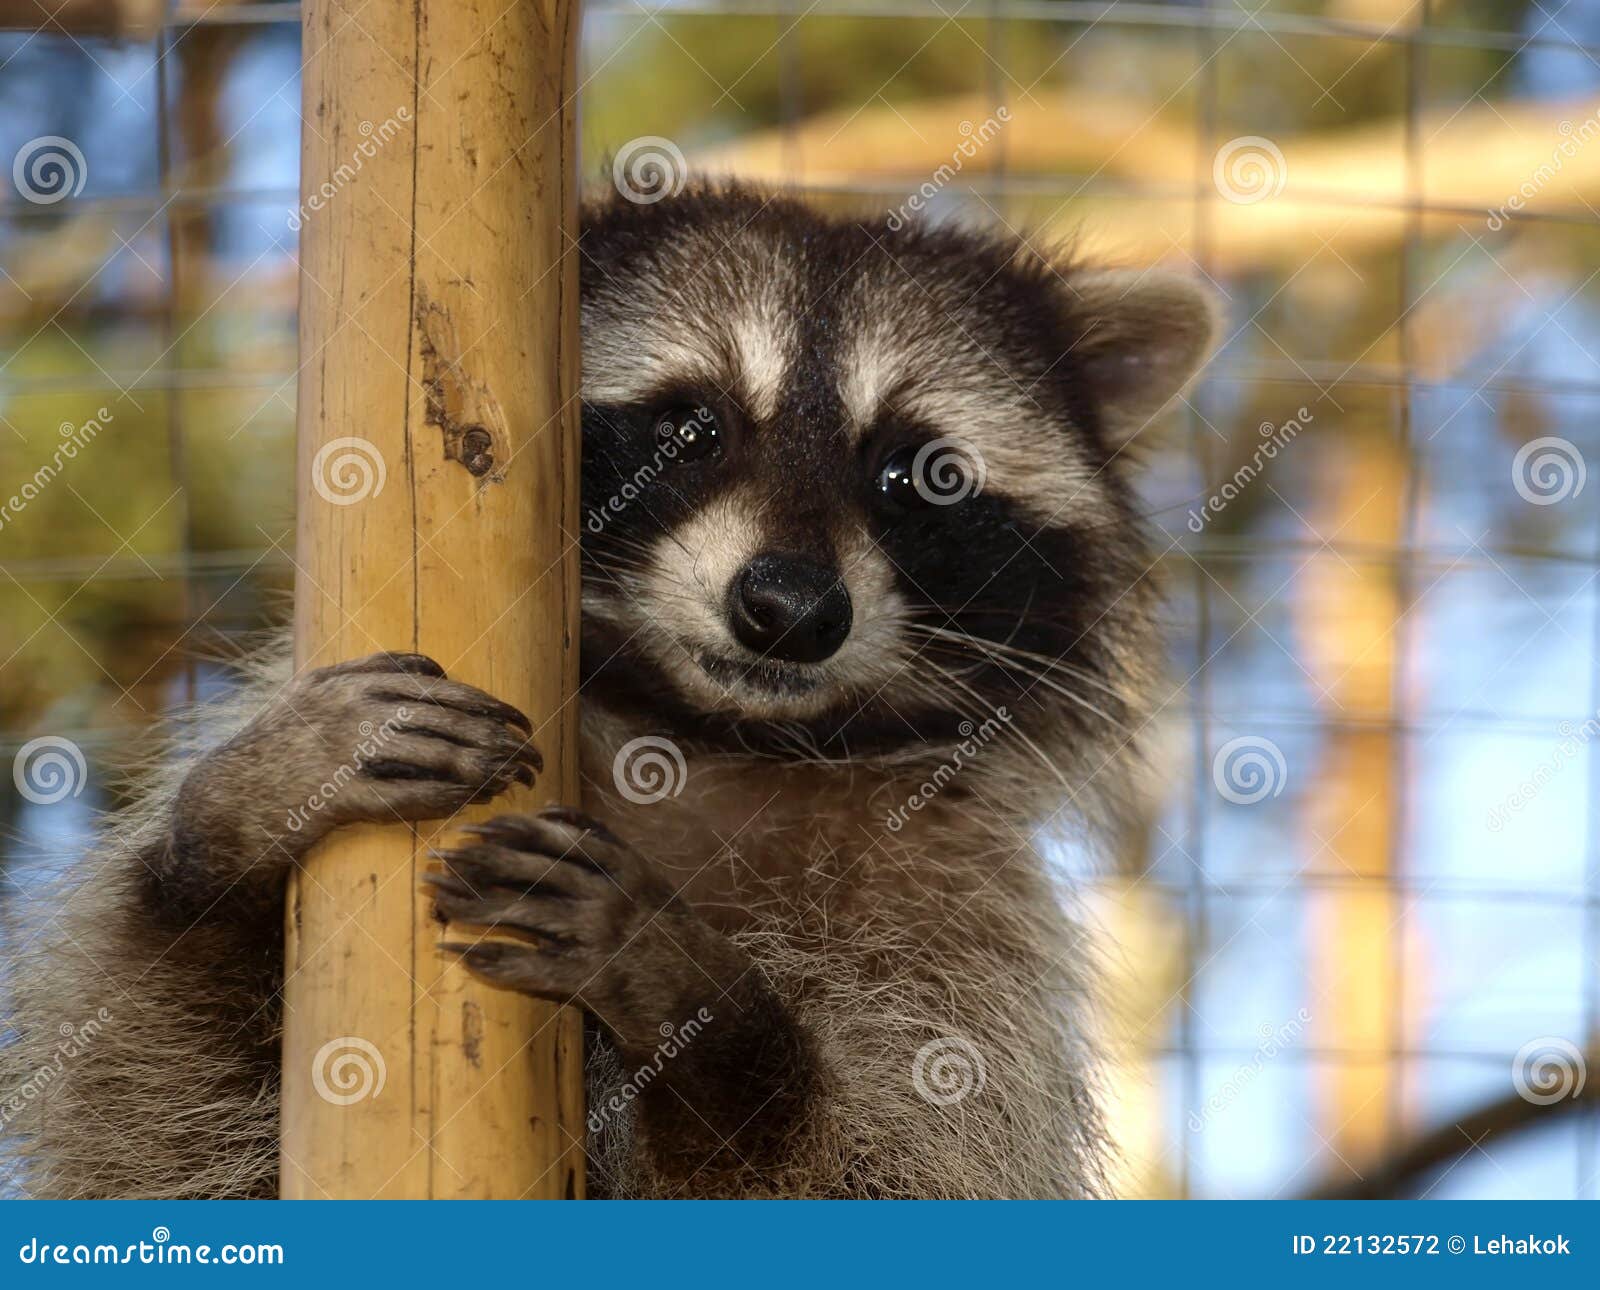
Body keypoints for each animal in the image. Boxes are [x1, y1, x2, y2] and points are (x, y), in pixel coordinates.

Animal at [2, 182, 1217, 1199]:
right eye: (692, 424)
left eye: (917, 473)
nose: (789, 609)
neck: (710, 735)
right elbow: (147, 1111)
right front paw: (232, 828)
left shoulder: (959, 920)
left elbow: (888, 1165)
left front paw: (719, 1030)